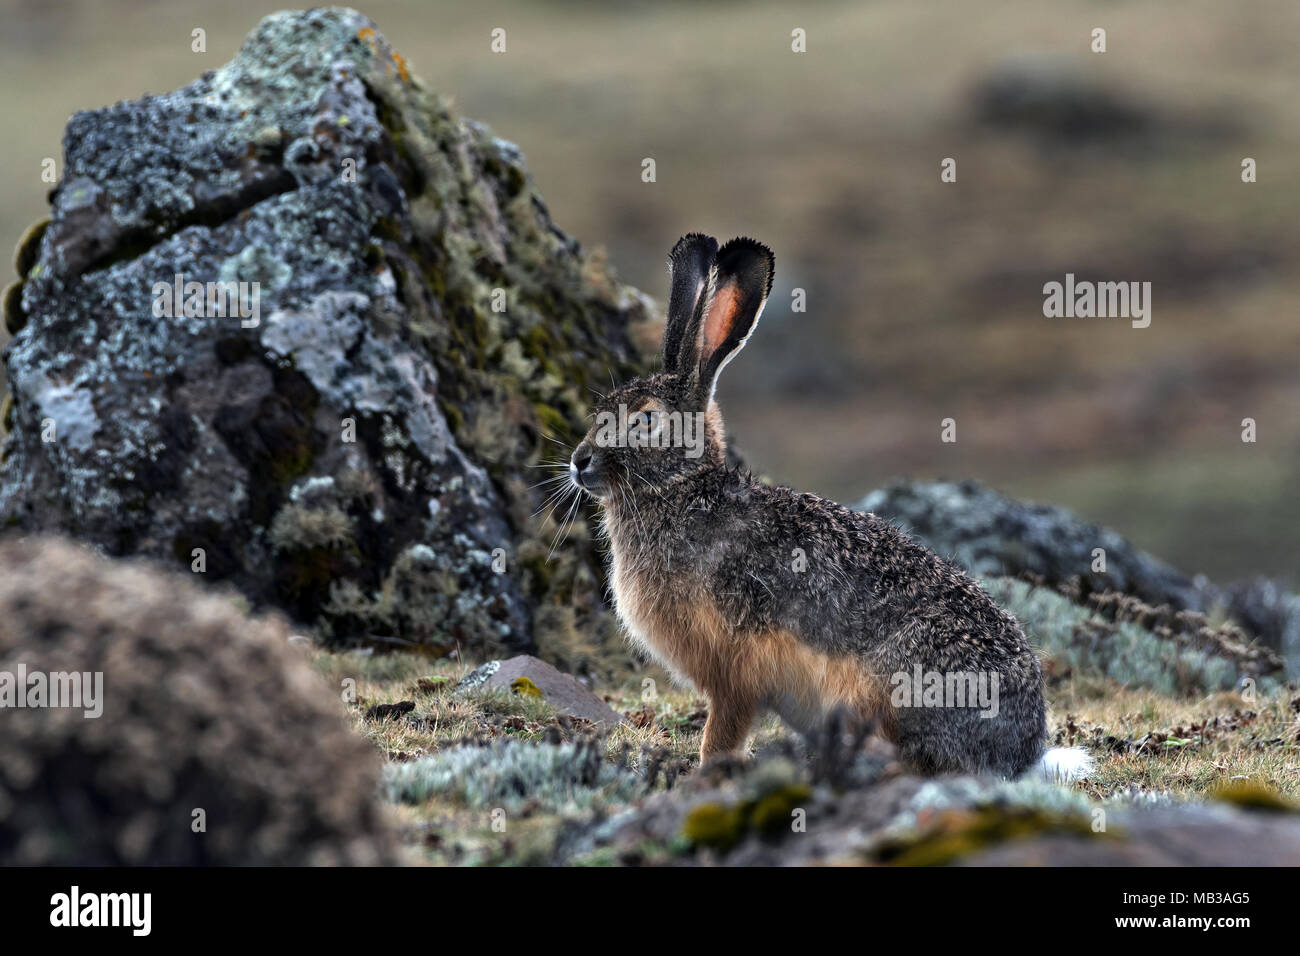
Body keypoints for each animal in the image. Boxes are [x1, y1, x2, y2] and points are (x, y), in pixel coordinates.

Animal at [568, 233, 1091, 781]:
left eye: (645, 420)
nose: (579, 461)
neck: (682, 488)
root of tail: (1020, 755)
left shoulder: (735, 673)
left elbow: (721, 733)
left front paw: (704, 775)